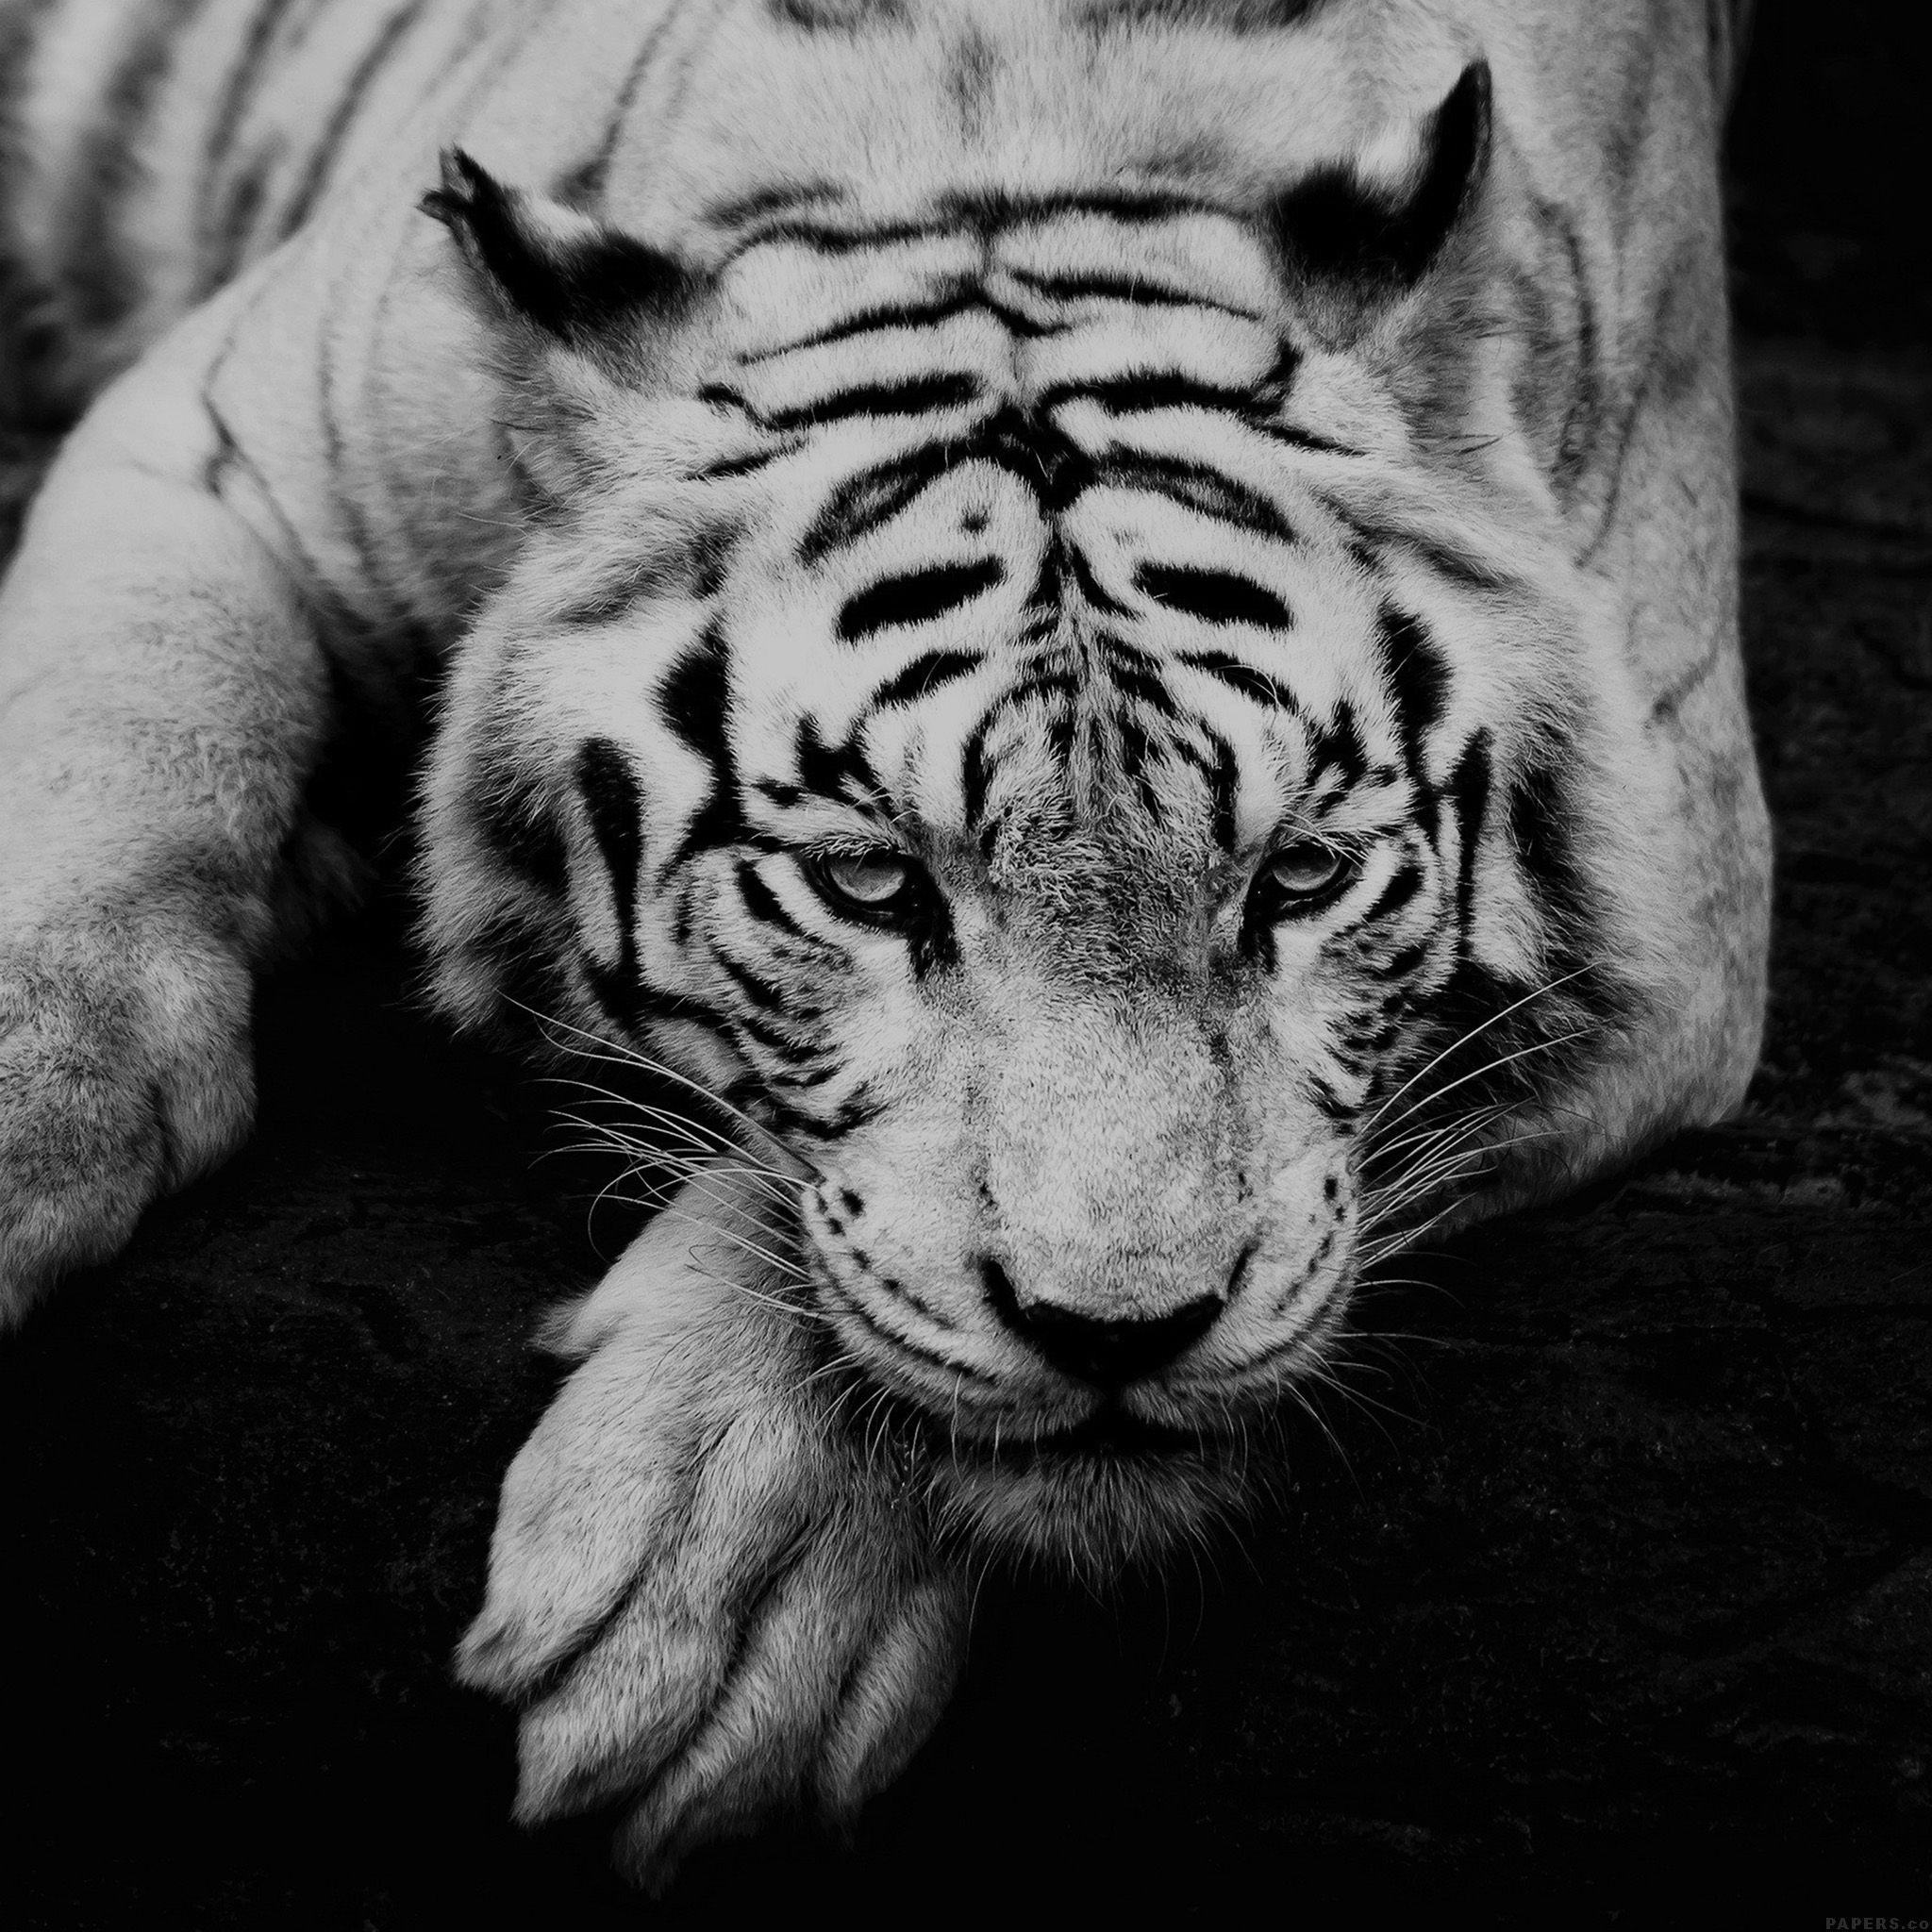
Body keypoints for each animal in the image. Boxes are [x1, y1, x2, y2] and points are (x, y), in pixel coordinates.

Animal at [0, 0, 1769, 1889]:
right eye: (865, 882)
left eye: (1298, 876)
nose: (1123, 1339)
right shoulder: (218, 439)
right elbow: (132, 738)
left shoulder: (1677, 918)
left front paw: (722, 1579)